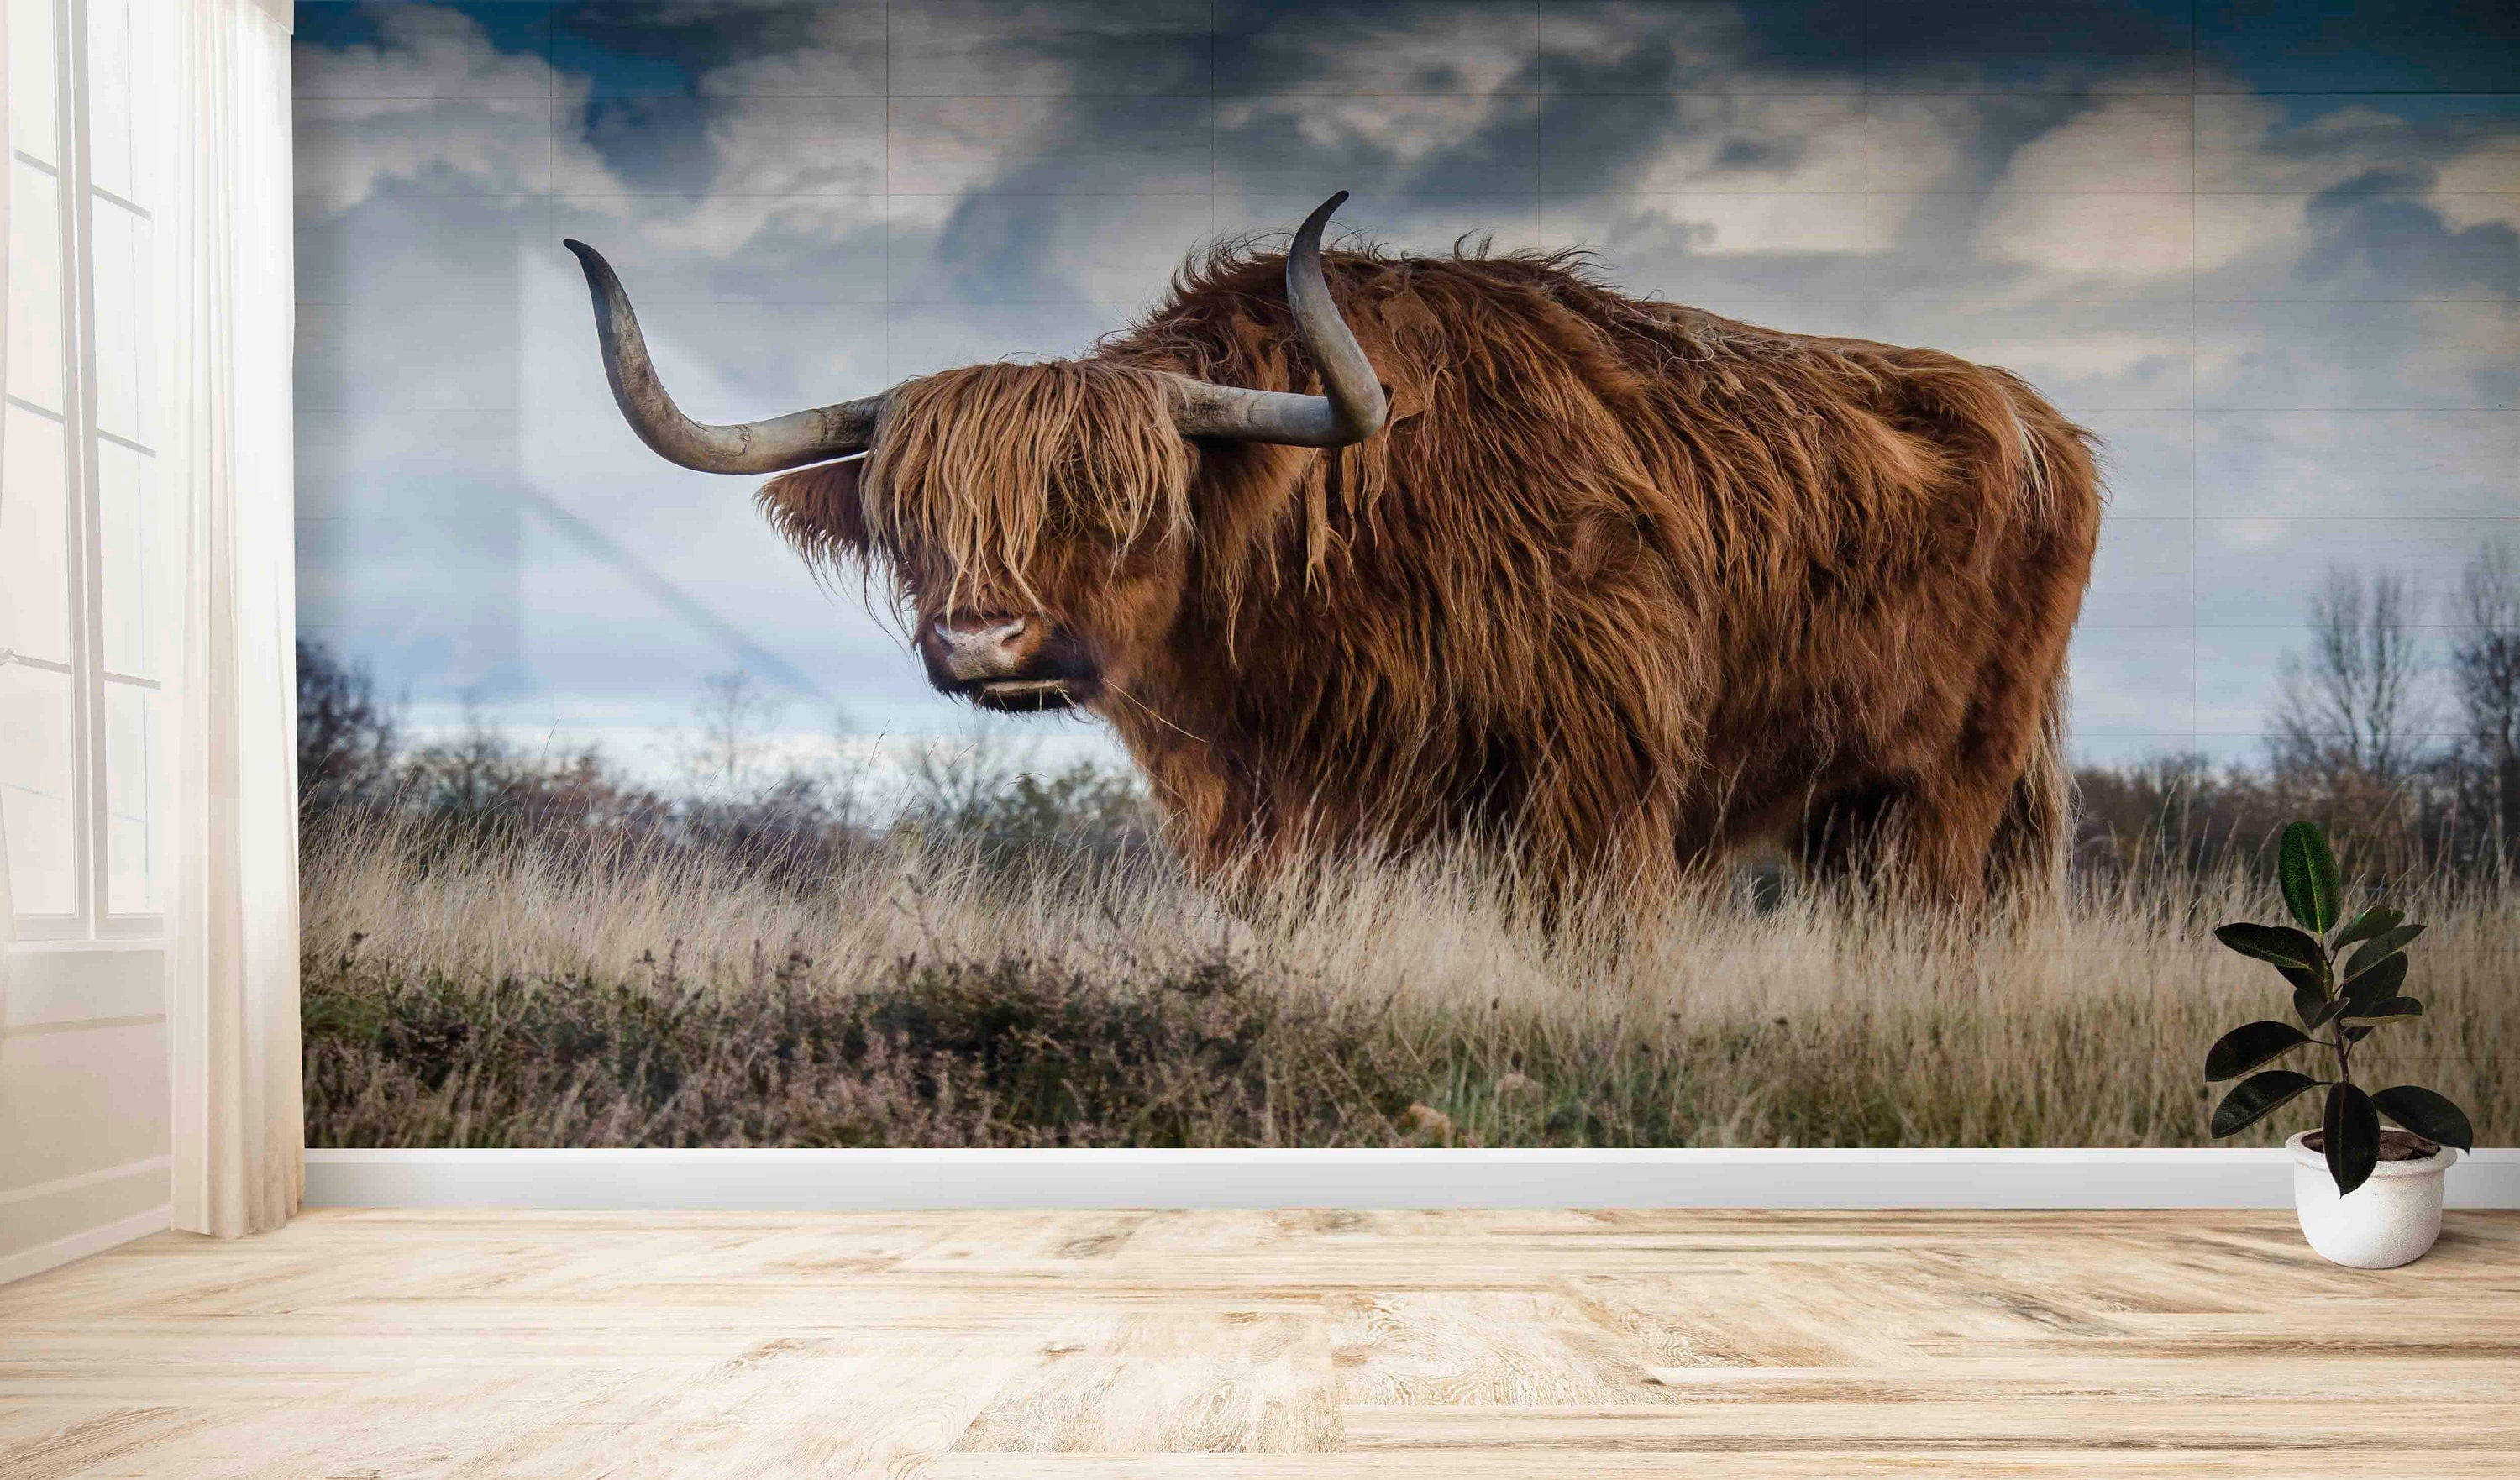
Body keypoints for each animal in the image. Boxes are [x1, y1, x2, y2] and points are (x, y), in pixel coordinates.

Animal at [565, 192, 2101, 913]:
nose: (980, 640)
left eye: (1123, 502)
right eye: (912, 518)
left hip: (1954, 787)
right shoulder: (1267, 812)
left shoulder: (1600, 776)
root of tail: (2039, 418)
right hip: (1854, 807)